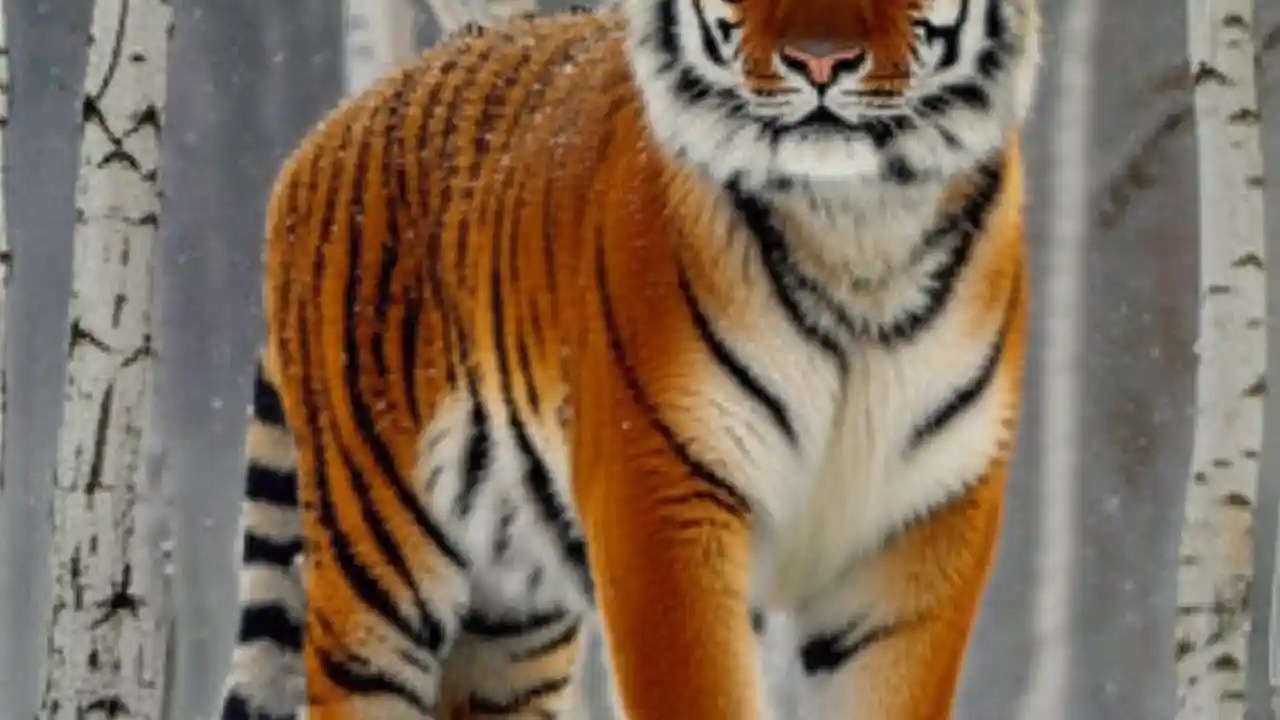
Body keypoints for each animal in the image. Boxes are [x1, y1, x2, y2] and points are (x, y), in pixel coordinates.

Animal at [217, 0, 1040, 717]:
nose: (820, 62)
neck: (858, 232)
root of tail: (322, 133)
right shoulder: (667, 497)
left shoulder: (921, 527)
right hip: (375, 565)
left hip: (514, 623)